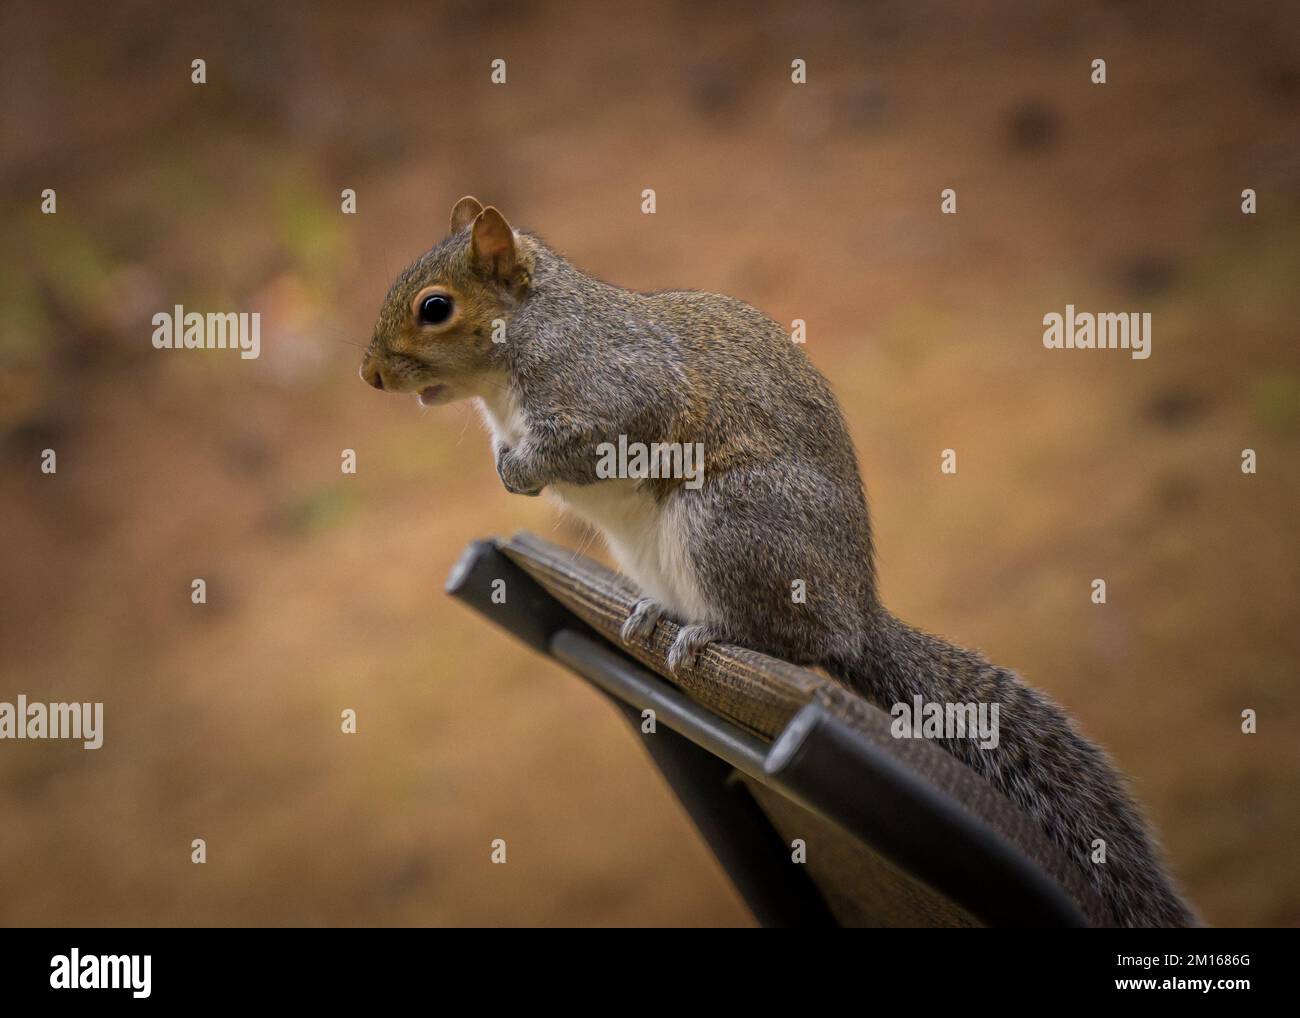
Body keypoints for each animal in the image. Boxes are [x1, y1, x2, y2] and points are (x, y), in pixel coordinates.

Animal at [361, 196, 1199, 927]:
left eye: (435, 307)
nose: (370, 376)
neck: (513, 360)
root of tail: (858, 610)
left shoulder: (616, 389)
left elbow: (593, 439)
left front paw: (525, 468)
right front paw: (508, 466)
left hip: (730, 522)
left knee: (797, 642)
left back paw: (712, 633)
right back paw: (658, 609)